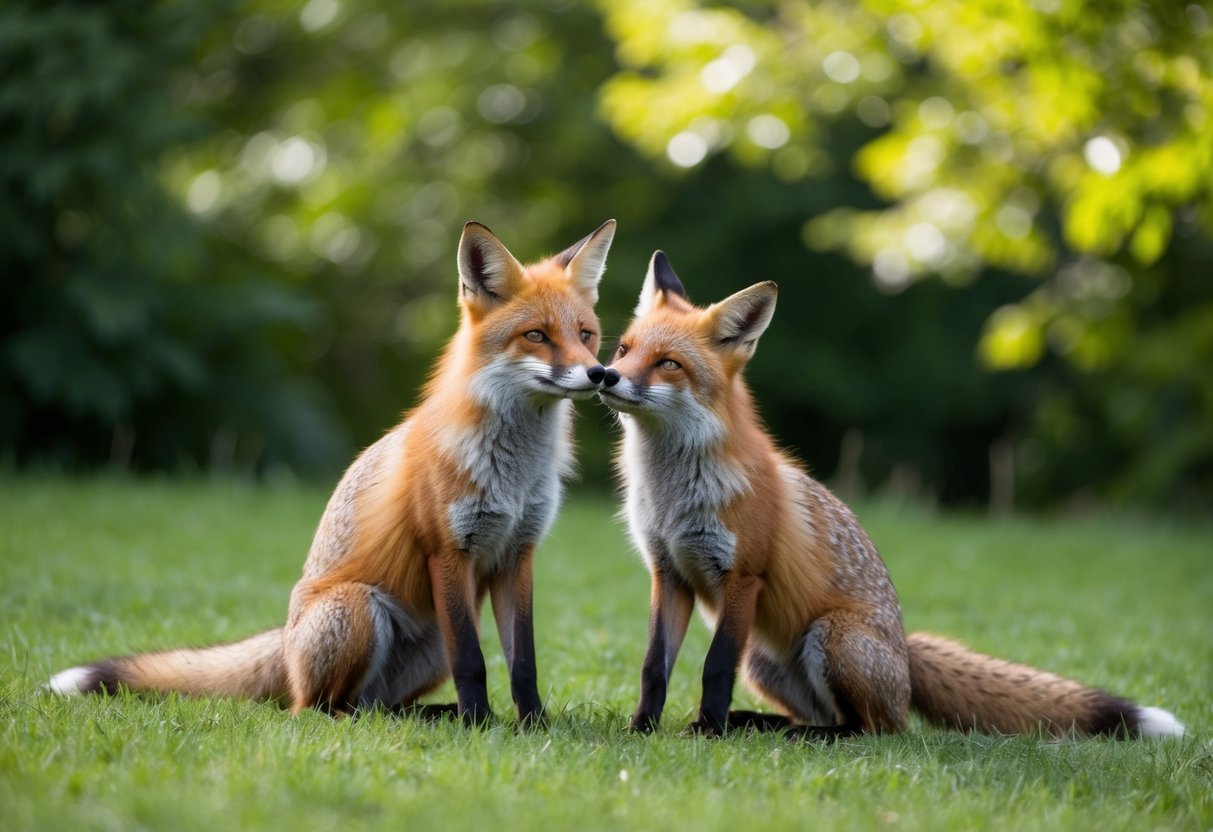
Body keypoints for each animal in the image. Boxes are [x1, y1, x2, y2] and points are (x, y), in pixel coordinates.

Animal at [48, 219, 618, 725]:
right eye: (536, 335)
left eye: (586, 335)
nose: (600, 374)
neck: (515, 475)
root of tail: (285, 640)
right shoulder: (447, 551)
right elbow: (474, 663)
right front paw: (482, 726)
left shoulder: (517, 554)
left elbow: (523, 663)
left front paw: (533, 725)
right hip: (360, 609)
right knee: (316, 710)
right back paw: (423, 720)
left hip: (427, 647)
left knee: (379, 704)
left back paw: (434, 717)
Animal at [597, 250, 1185, 740]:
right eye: (624, 350)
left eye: (668, 363)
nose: (605, 376)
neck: (673, 496)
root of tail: (904, 654)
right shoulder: (669, 573)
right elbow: (654, 667)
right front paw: (642, 729)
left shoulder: (743, 576)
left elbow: (713, 667)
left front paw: (708, 732)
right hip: (764, 660)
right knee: (832, 717)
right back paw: (760, 724)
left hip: (830, 638)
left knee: (873, 729)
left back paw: (790, 735)